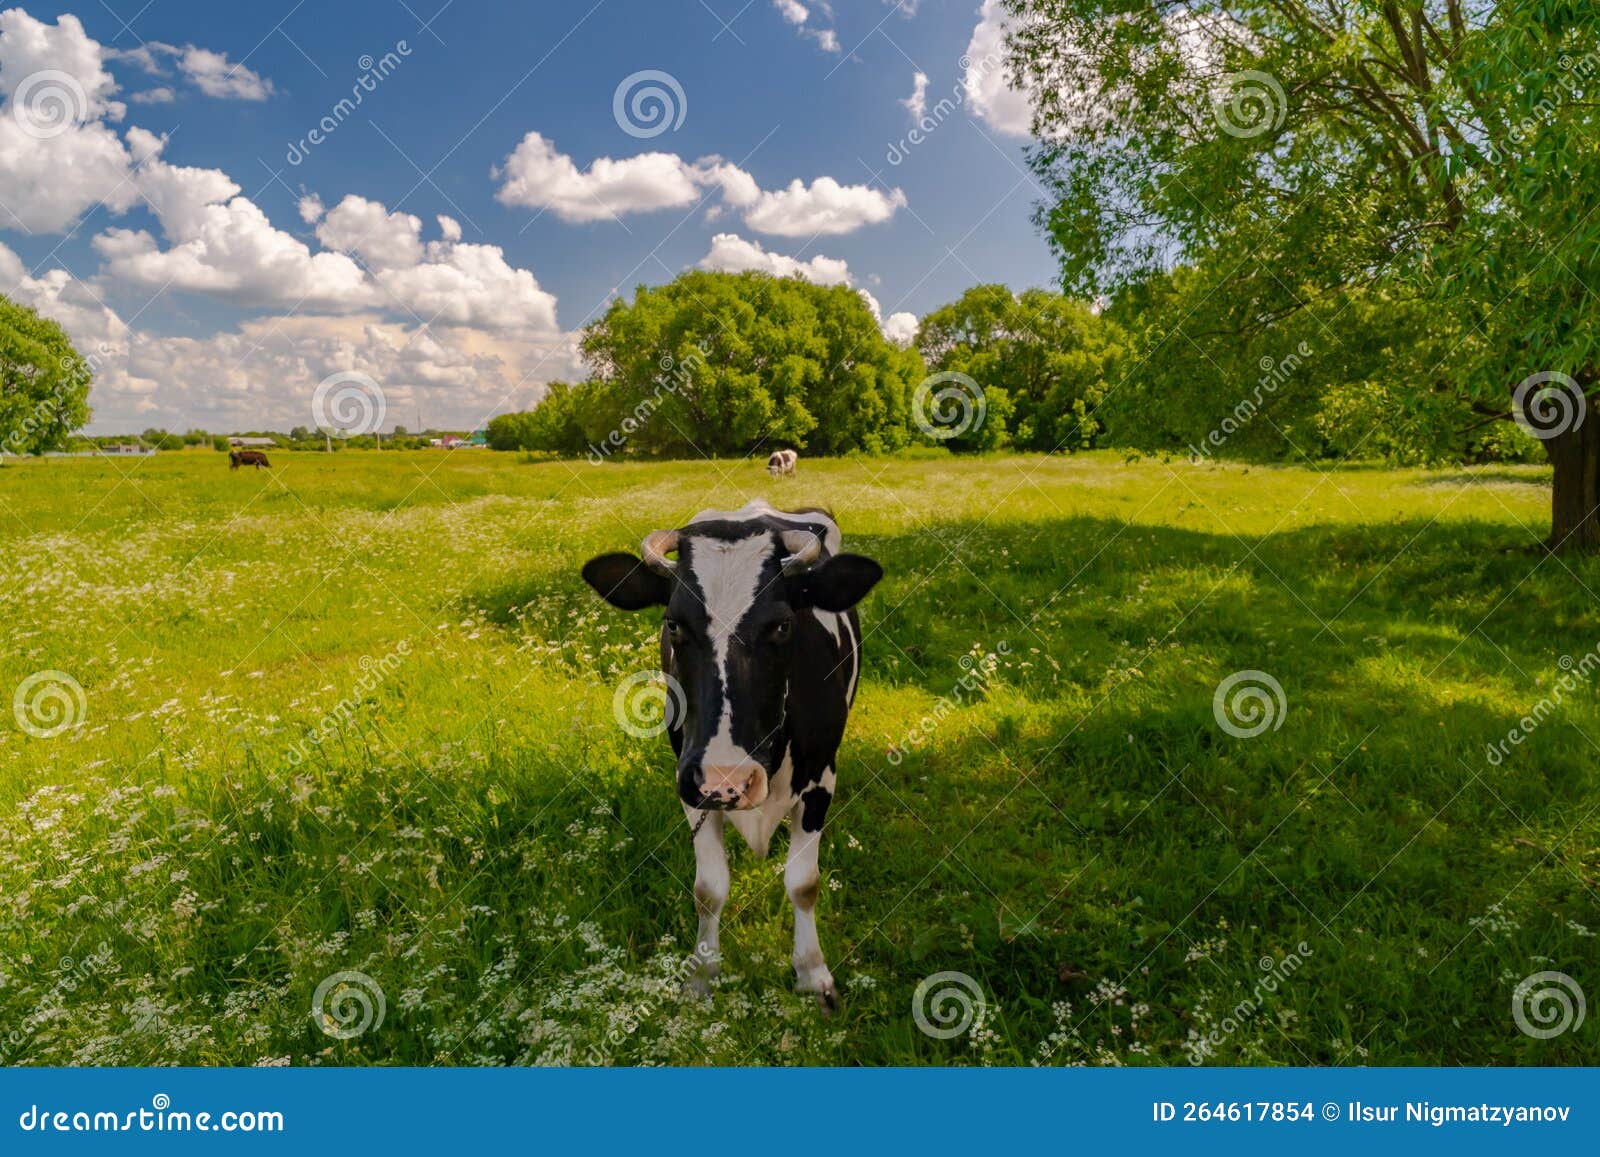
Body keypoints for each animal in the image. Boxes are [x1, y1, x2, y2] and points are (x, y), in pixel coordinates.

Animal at [581, 500, 882, 1013]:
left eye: (782, 624)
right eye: (673, 623)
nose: (727, 778)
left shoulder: (822, 779)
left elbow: (803, 883)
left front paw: (813, 973)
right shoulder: (690, 782)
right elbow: (708, 889)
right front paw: (702, 974)